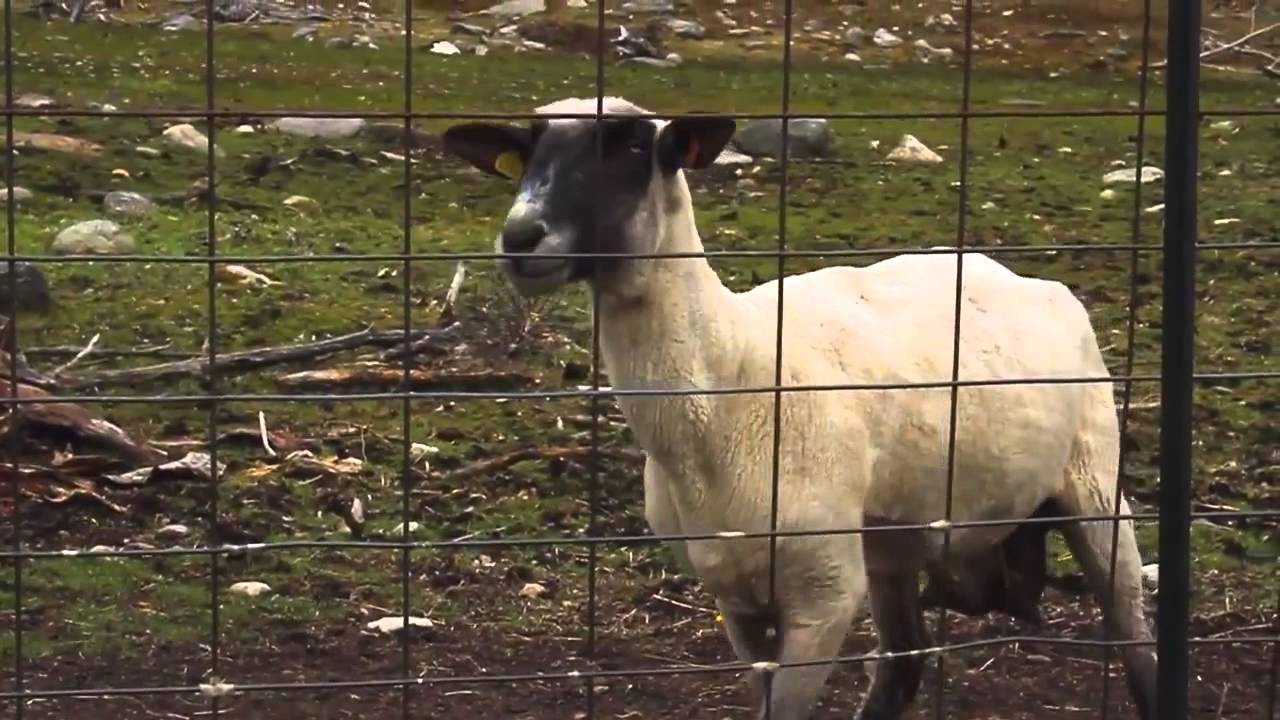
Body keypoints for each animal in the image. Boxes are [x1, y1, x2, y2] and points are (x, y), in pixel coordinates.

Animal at [441, 96, 1157, 720]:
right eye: (525, 152)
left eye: (634, 147)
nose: (520, 237)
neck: (729, 380)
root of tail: (1025, 276)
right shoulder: (736, 599)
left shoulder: (824, 594)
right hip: (893, 539)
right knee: (903, 665)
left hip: (1094, 480)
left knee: (1134, 635)